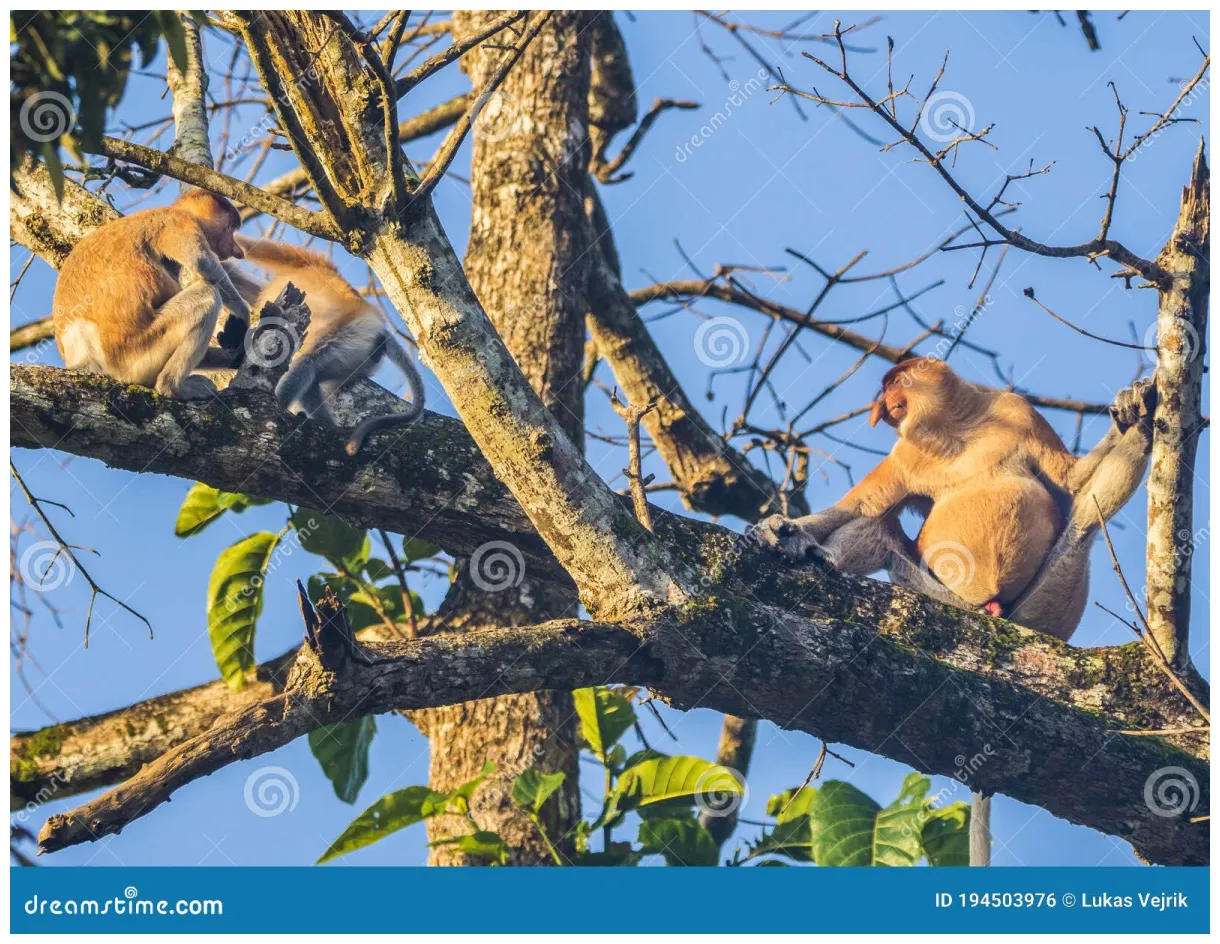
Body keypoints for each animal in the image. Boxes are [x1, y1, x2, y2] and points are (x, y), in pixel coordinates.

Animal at [52, 190, 251, 400]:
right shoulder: (177, 221)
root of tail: (85, 356)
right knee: (207, 294)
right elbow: (201, 262)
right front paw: (242, 317)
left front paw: (234, 354)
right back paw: (173, 387)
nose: (238, 251)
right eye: (230, 227)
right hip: (137, 351)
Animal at [233, 236, 426, 455]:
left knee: (308, 363)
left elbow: (249, 248)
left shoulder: (298, 259)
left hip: (352, 333)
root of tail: (380, 331)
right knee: (313, 378)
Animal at [749, 356, 1157, 642]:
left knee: (1085, 525)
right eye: (885, 388)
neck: (957, 432)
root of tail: (990, 607)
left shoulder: (1018, 412)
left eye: (894, 382)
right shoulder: (904, 455)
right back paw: (822, 555)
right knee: (881, 533)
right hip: (941, 593)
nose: (882, 403)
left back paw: (1138, 435)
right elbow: (860, 506)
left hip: (1038, 610)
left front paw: (1133, 414)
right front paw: (780, 529)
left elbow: (1073, 483)